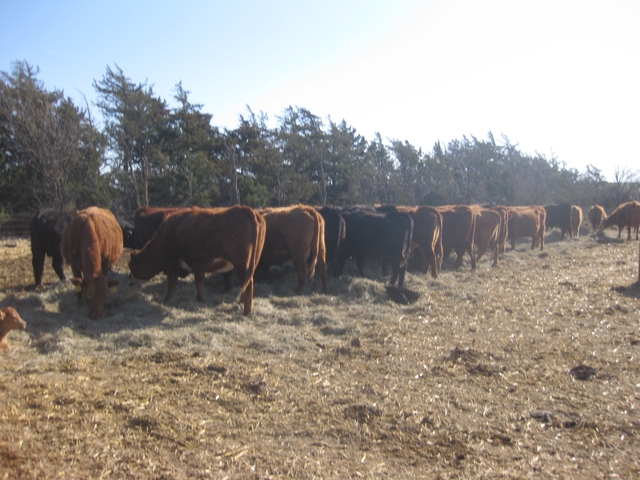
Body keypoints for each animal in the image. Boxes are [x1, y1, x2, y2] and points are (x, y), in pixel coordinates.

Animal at [129, 206, 266, 315]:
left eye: (131, 265)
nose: (130, 282)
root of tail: (245, 209)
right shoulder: (199, 266)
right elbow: (199, 282)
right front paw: (200, 299)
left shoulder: (173, 265)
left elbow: (172, 283)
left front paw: (166, 300)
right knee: (247, 283)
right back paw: (242, 303)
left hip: (241, 265)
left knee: (248, 284)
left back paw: (246, 311)